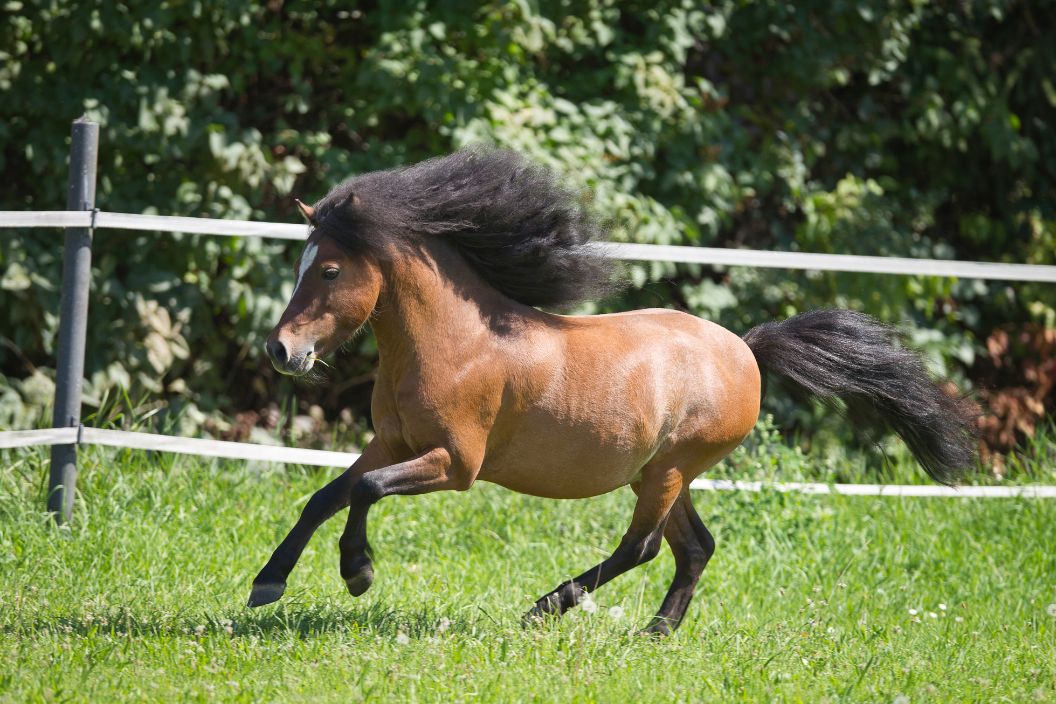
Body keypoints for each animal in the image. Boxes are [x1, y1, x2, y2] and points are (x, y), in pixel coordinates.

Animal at [247, 148, 977, 635]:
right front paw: (267, 582)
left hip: (671, 469)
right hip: (657, 473)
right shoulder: (392, 443)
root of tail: (747, 349)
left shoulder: (455, 464)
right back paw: (657, 631)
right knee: (694, 547)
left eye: (329, 269)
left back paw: (547, 606)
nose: (282, 351)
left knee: (644, 548)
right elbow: (326, 495)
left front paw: (358, 573)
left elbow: (365, 493)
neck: (456, 343)